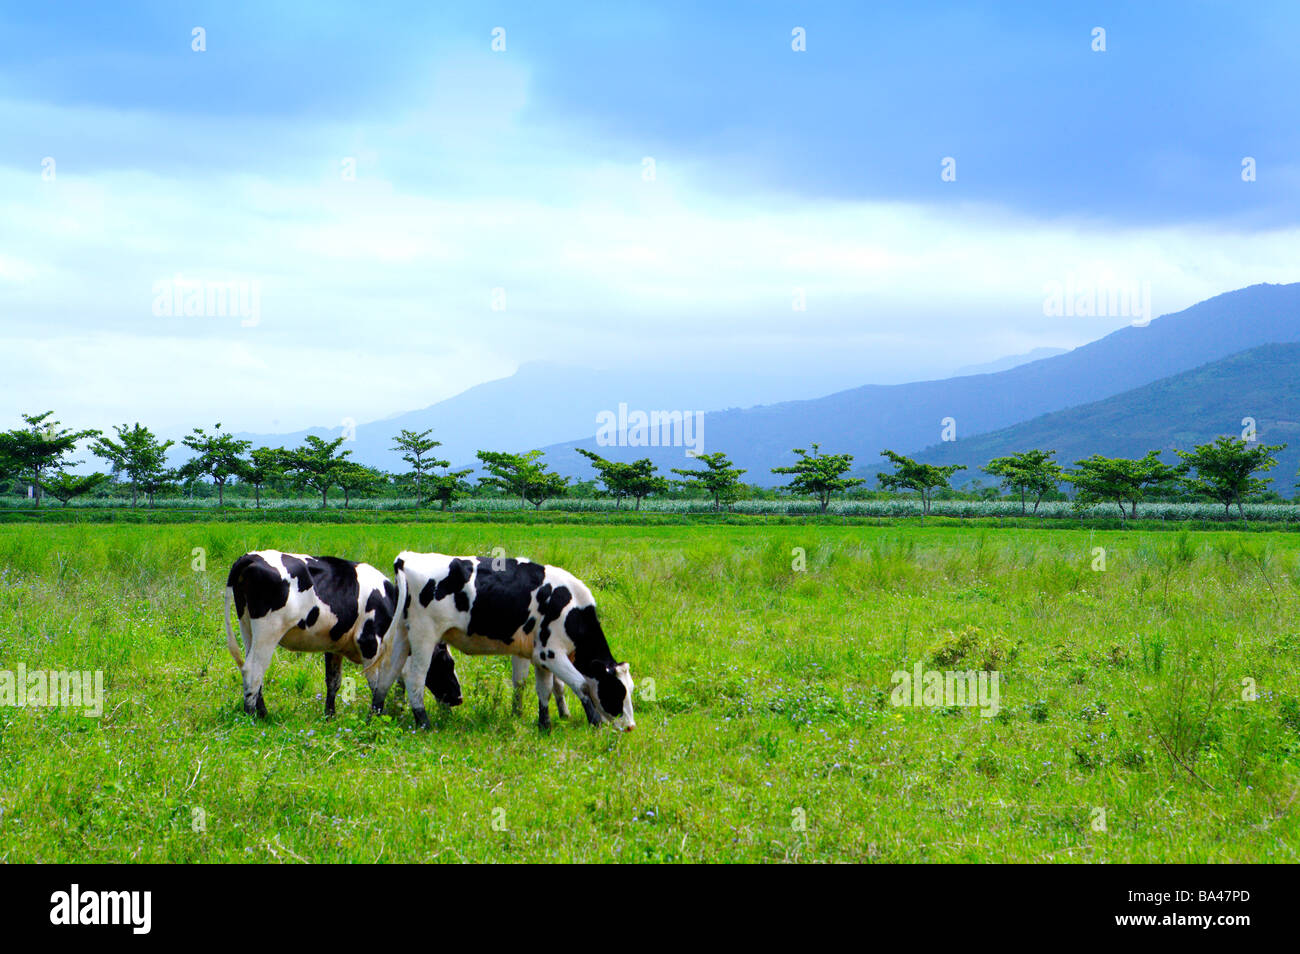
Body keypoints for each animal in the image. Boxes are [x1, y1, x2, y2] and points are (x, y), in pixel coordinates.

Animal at [224, 550, 462, 718]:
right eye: (447, 662)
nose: (458, 697)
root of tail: (251, 557)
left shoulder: (334, 646)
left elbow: (333, 681)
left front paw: (330, 716)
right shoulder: (370, 643)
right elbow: (377, 683)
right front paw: (377, 716)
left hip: (247, 628)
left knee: (253, 670)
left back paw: (260, 711)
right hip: (268, 630)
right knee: (253, 669)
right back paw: (255, 716)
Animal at [369, 553, 635, 731]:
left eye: (630, 689)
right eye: (617, 690)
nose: (631, 726)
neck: (570, 606)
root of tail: (408, 557)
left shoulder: (540, 656)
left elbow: (542, 689)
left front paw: (543, 724)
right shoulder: (552, 653)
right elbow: (581, 684)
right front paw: (595, 723)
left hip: (403, 636)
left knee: (386, 677)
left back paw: (375, 716)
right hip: (424, 637)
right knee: (414, 679)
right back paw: (424, 723)